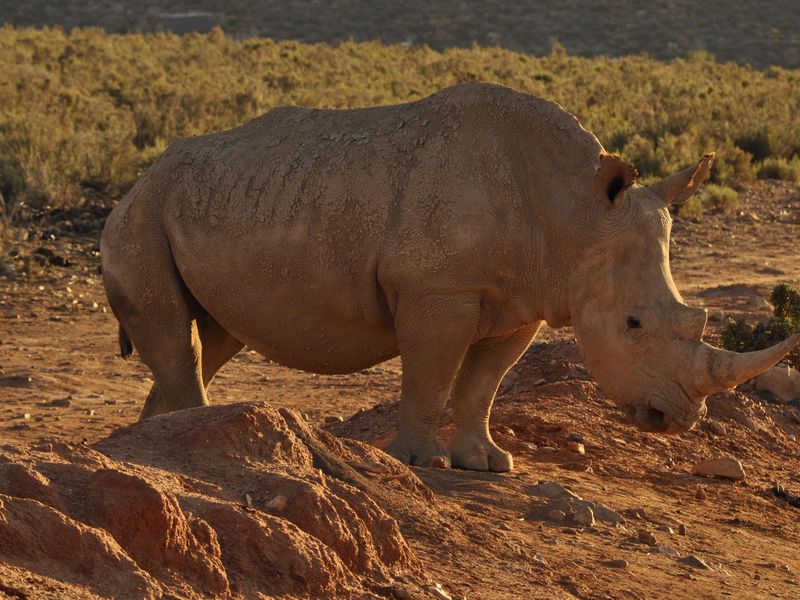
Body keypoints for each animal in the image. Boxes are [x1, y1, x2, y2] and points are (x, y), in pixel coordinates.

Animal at [101, 83, 798, 472]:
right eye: (632, 324)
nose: (677, 419)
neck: (574, 213)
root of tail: (131, 183)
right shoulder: (438, 290)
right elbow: (432, 374)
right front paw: (419, 460)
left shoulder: (521, 301)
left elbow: (481, 386)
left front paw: (488, 463)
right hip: (139, 218)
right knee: (180, 339)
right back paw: (179, 444)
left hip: (216, 206)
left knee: (211, 339)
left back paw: (145, 446)